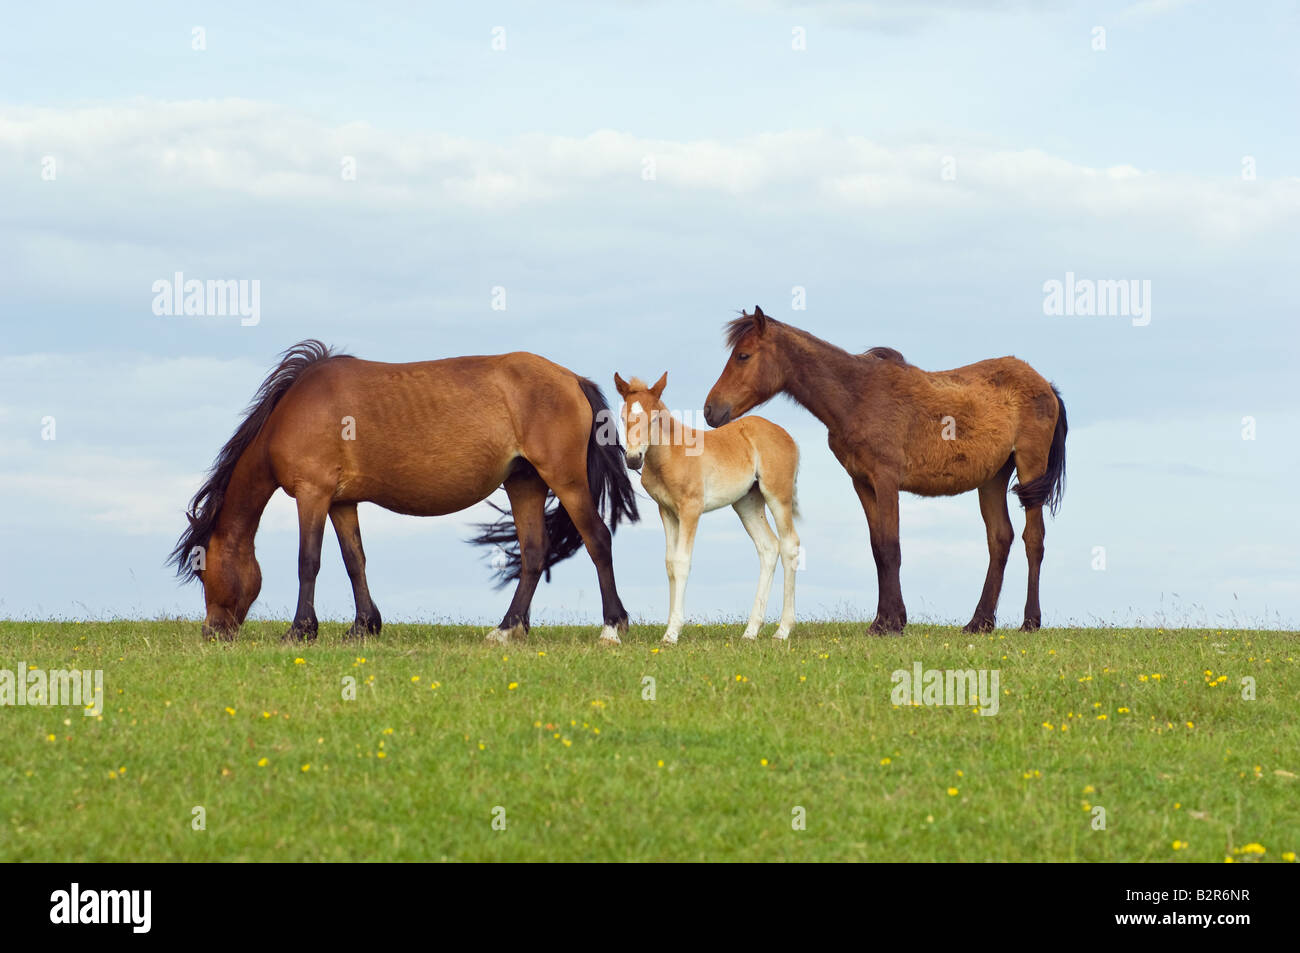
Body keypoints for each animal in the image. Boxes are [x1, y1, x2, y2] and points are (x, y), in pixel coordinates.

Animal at [169, 341, 638, 645]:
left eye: (202, 570)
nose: (212, 632)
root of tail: (573, 379)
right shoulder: (341, 502)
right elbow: (354, 561)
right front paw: (363, 626)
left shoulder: (313, 495)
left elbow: (309, 562)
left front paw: (300, 631)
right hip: (524, 482)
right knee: (535, 551)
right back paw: (508, 629)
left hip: (566, 480)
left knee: (598, 540)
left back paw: (612, 627)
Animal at [614, 372, 800, 643]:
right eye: (622, 417)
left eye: (655, 417)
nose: (633, 459)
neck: (671, 455)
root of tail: (788, 436)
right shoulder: (667, 511)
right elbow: (670, 563)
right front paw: (670, 627)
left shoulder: (691, 509)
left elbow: (682, 562)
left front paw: (672, 633)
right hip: (747, 502)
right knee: (768, 547)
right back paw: (750, 631)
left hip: (777, 495)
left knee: (789, 545)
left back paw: (783, 630)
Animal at [703, 307, 1067, 634]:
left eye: (743, 356)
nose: (710, 410)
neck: (858, 396)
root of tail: (1045, 385)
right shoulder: (863, 484)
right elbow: (878, 548)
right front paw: (884, 620)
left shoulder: (886, 481)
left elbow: (891, 547)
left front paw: (891, 625)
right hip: (993, 478)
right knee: (1000, 539)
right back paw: (980, 623)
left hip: (1030, 467)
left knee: (1033, 539)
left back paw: (1030, 622)